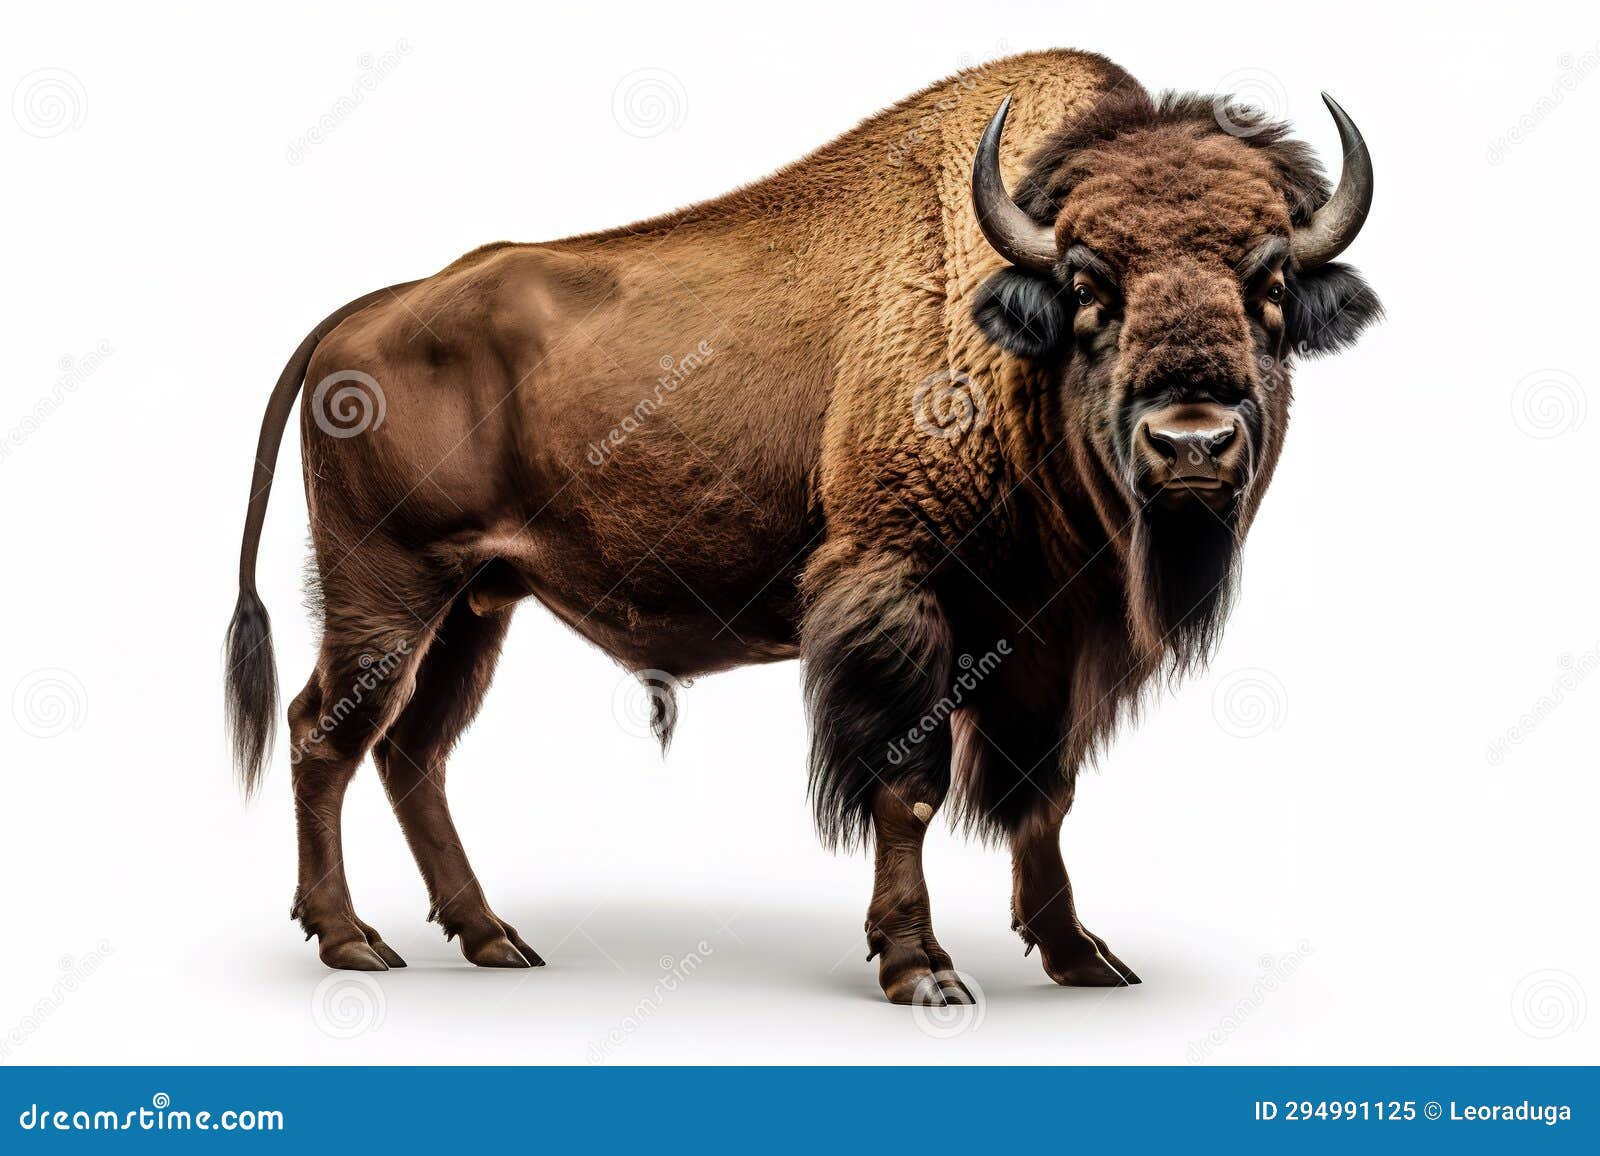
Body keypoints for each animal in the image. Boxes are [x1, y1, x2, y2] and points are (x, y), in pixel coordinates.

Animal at [225, 48, 1380, 1005]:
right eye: (1089, 283)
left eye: (1272, 280)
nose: (1191, 444)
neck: (1009, 337)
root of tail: (363, 315)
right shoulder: (901, 594)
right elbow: (909, 785)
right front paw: (920, 969)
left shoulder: (1050, 635)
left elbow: (1041, 793)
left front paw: (1082, 957)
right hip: (387, 590)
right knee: (325, 731)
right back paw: (352, 940)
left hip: (476, 603)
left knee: (412, 750)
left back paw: (490, 938)